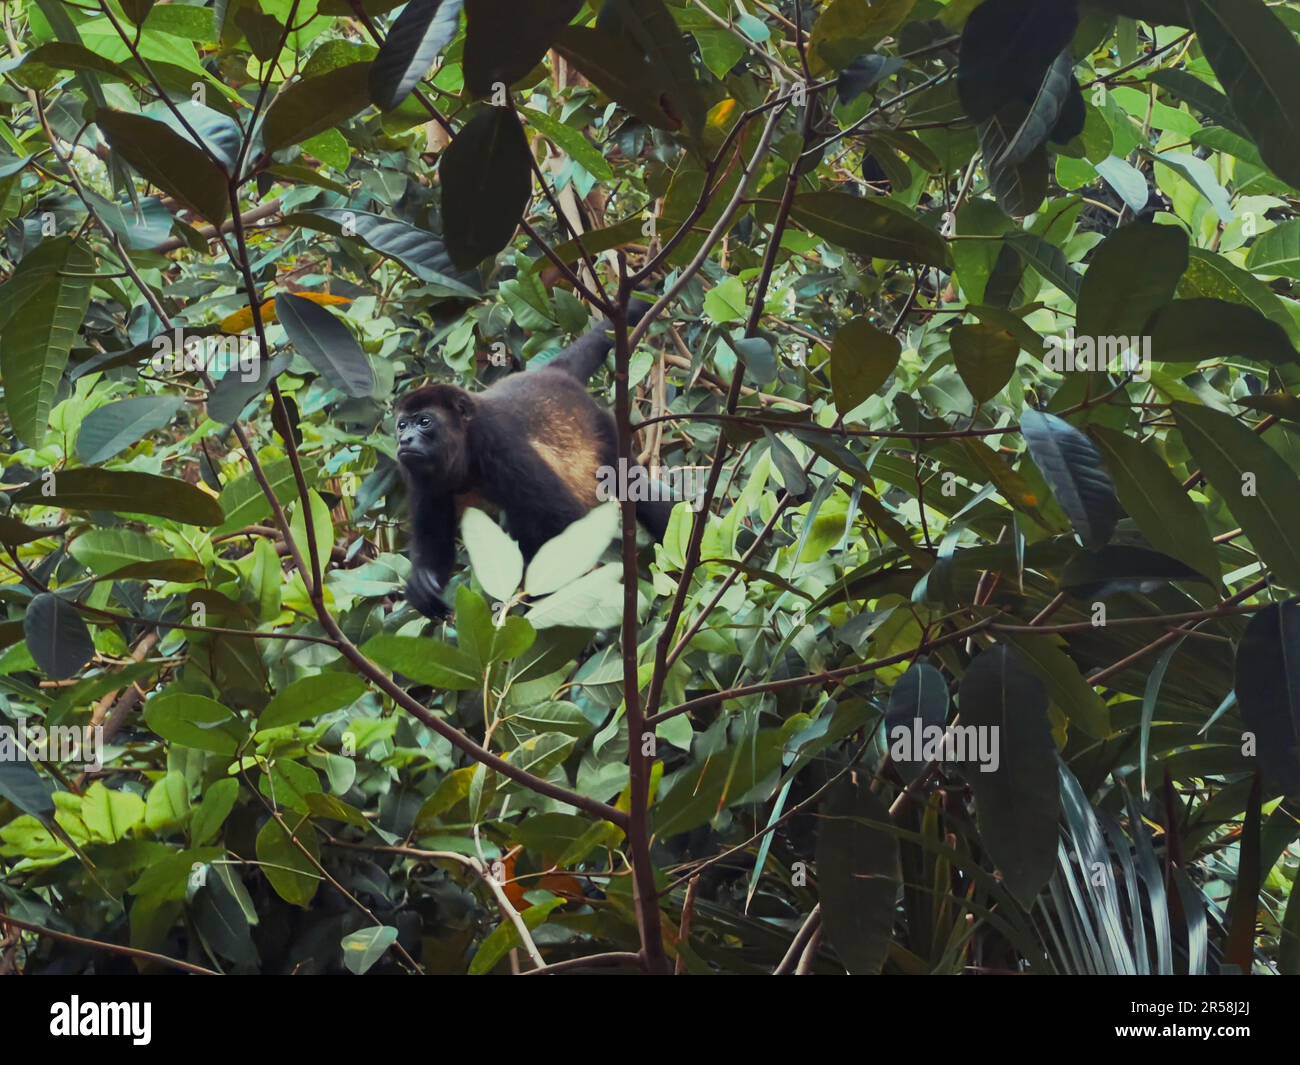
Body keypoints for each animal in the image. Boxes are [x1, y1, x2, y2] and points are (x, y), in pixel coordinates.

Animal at [394, 301, 674, 620]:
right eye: (402, 425)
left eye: (424, 421)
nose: (404, 440)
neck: (465, 444)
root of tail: (553, 373)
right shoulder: (421, 477)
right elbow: (435, 543)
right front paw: (422, 584)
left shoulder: (501, 445)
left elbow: (568, 521)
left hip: (605, 430)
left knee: (635, 491)